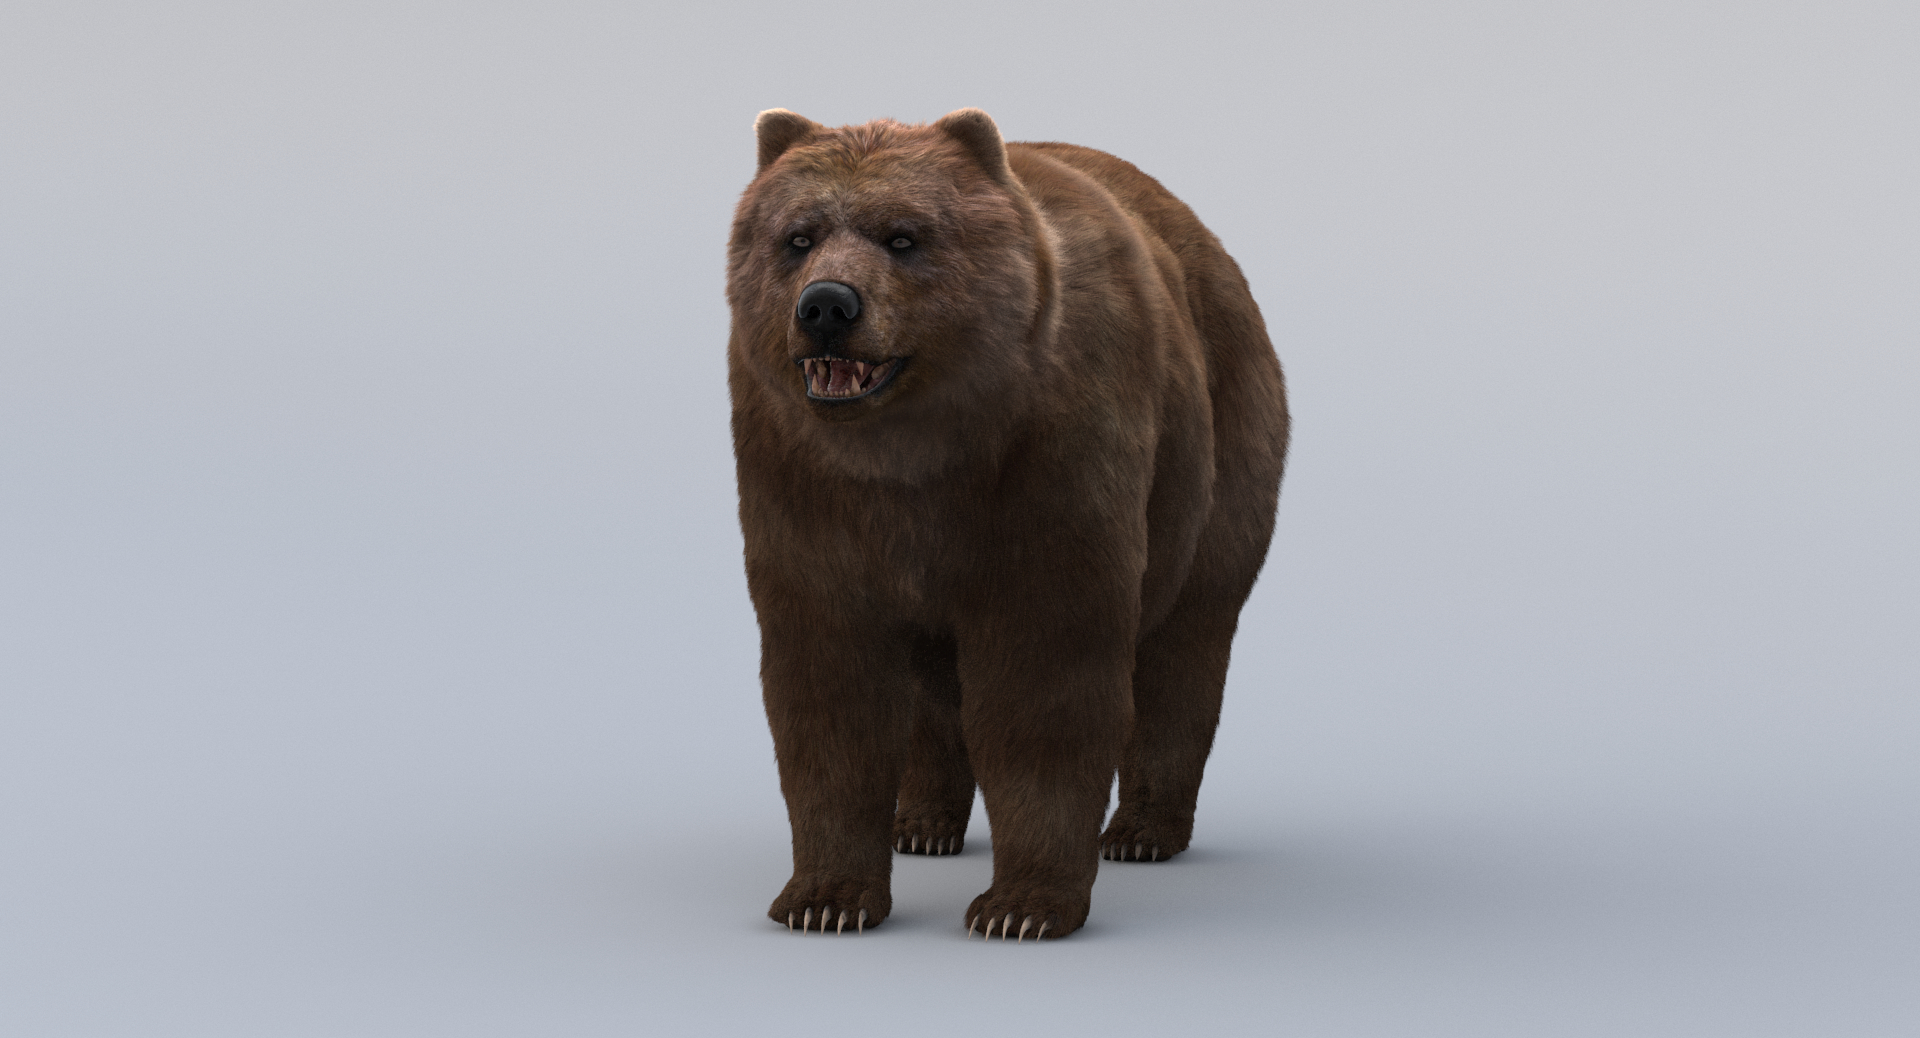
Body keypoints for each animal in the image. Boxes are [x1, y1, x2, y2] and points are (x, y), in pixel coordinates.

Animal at [725, 108, 1289, 940]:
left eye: (904, 236)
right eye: (798, 235)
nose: (827, 306)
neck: (915, 449)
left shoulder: (1051, 468)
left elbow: (1044, 677)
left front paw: (1020, 909)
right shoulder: (806, 490)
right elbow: (830, 684)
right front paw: (823, 899)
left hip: (1223, 449)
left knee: (1186, 648)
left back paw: (1141, 832)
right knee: (932, 688)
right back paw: (921, 824)